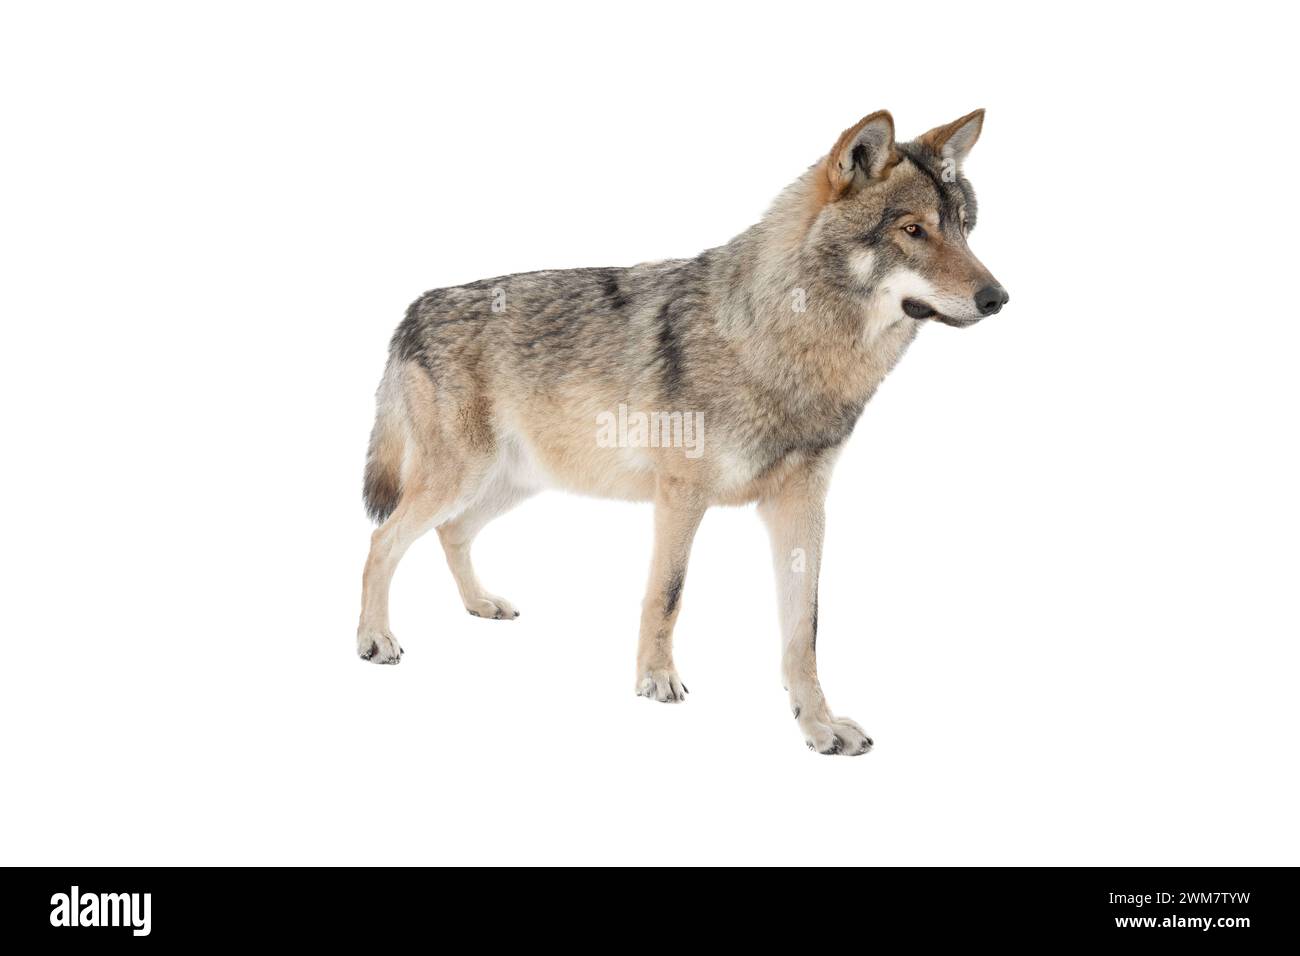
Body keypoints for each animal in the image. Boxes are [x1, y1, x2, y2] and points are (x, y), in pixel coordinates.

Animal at [357, 109, 1008, 755]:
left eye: (965, 229)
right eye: (913, 230)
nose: (997, 297)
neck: (783, 348)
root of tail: (413, 310)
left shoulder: (802, 505)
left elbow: (806, 628)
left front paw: (818, 724)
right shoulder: (680, 494)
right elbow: (667, 593)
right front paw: (657, 679)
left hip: (508, 484)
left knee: (450, 533)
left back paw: (480, 605)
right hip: (460, 479)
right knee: (382, 540)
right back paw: (374, 640)